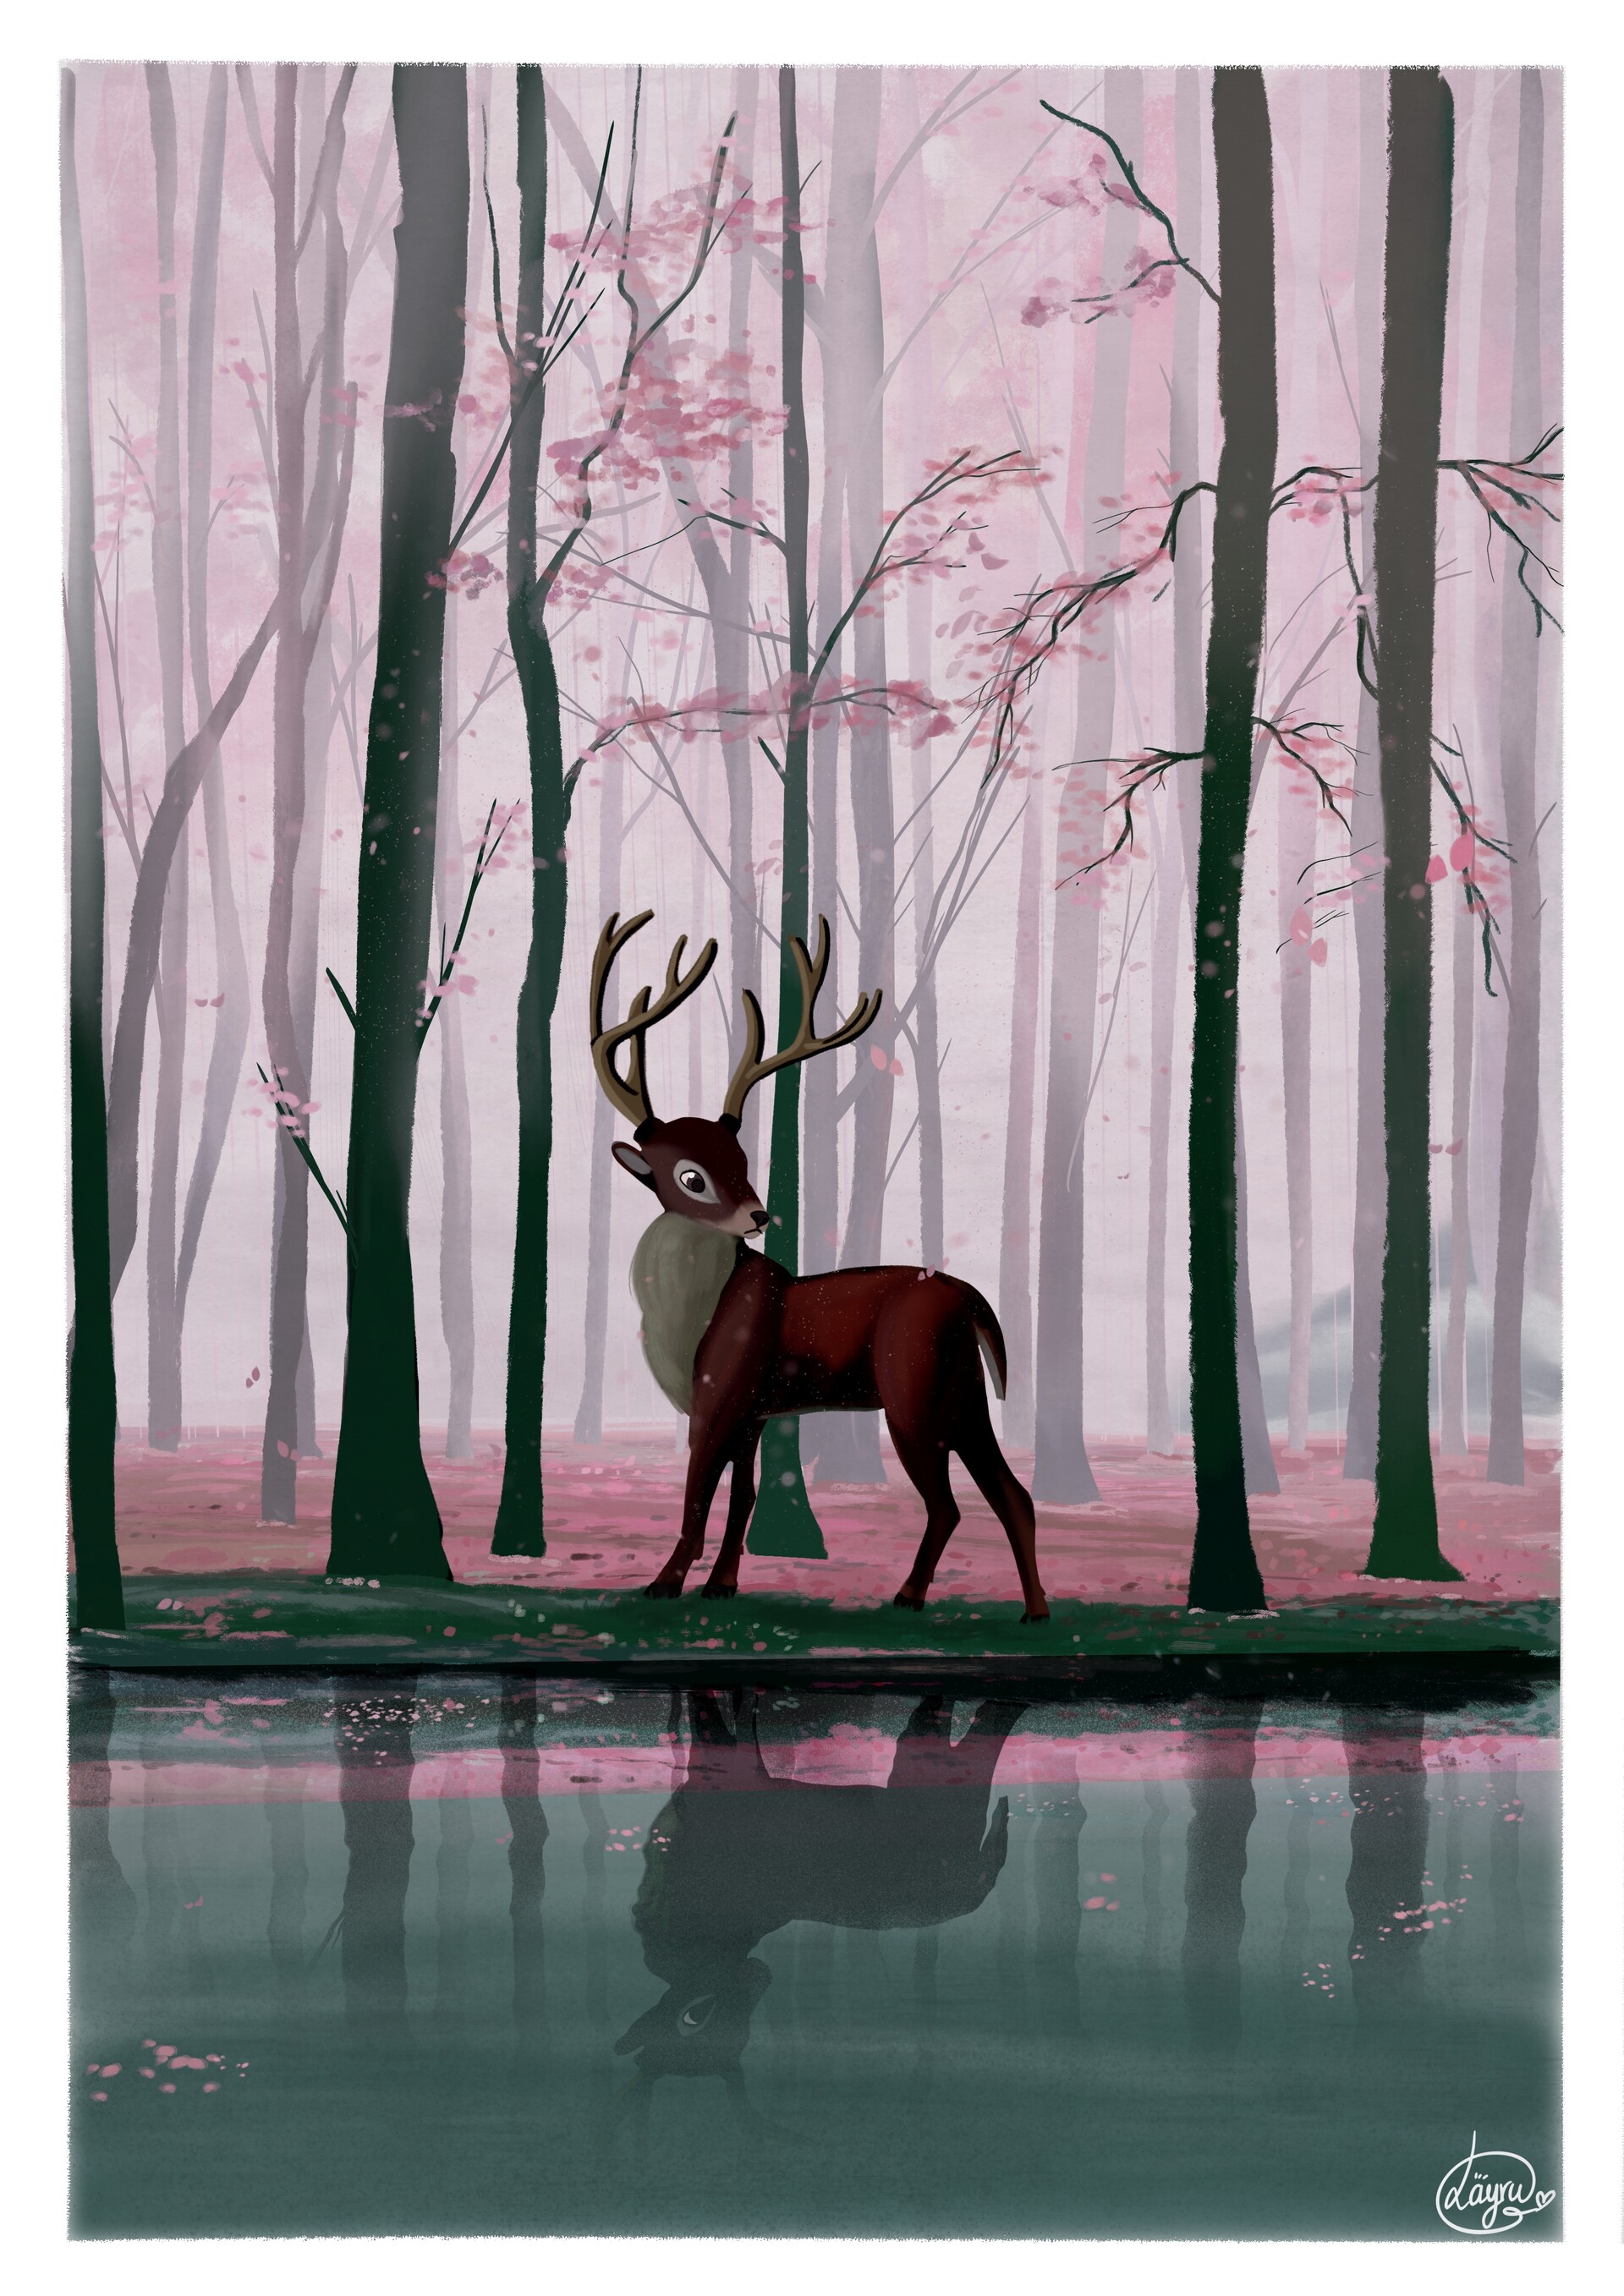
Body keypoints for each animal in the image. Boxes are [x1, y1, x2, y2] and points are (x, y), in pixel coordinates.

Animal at [590, 908, 1049, 1622]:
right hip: (965, 1393)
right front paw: (722, 1584)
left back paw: (910, 1595)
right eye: (691, 1175)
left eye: (741, 1160)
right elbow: (743, 1498)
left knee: (948, 1503)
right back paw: (1033, 1610)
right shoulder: (754, 1411)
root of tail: (972, 1298)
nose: (759, 1215)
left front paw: (664, 1582)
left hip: (913, 1390)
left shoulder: (718, 1393)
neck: (689, 1323)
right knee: (1013, 1493)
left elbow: (697, 1496)